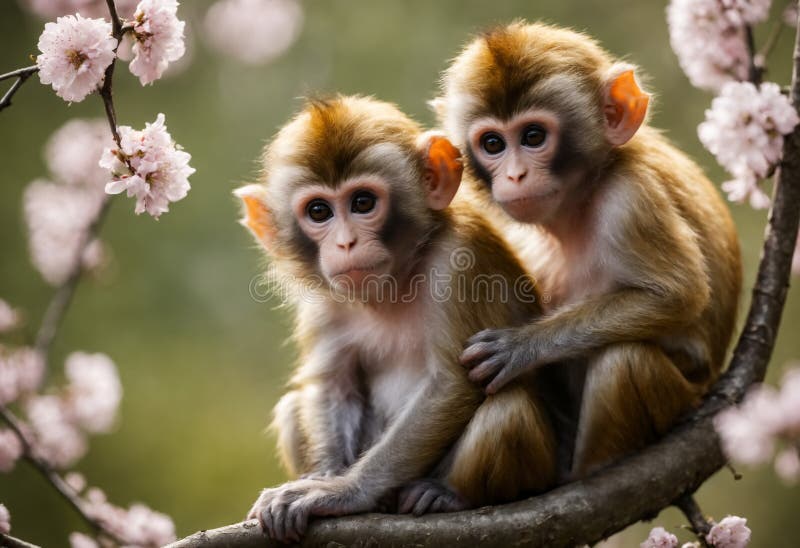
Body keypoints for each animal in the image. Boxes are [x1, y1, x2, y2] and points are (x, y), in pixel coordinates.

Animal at [236, 95, 557, 542]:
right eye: (318, 211)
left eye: (363, 203)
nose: (345, 243)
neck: (393, 286)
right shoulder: (326, 300)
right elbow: (332, 384)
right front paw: (323, 477)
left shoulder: (458, 263)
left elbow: (453, 383)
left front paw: (340, 492)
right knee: (292, 406)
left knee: (507, 411)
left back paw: (447, 495)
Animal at [432, 21, 742, 478]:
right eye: (492, 144)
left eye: (533, 136)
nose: (516, 175)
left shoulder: (629, 200)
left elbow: (677, 295)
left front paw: (522, 347)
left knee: (622, 361)